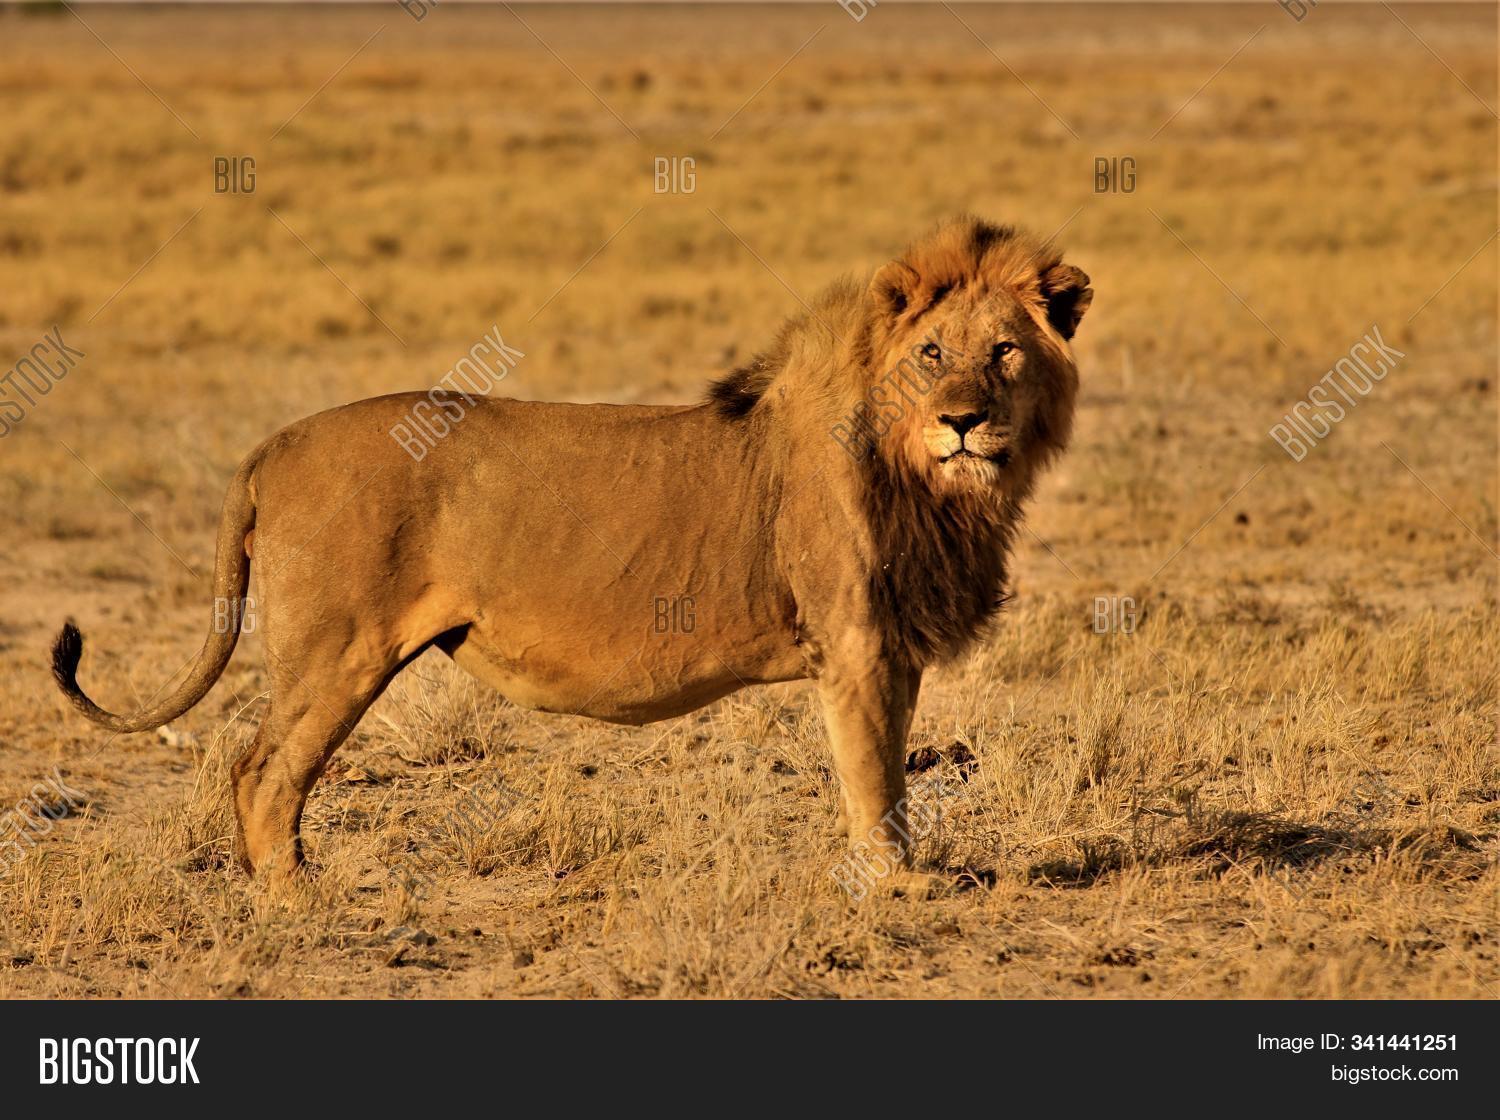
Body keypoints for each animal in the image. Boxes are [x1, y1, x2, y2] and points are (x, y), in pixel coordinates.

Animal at [52, 215, 1091, 881]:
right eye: (932, 354)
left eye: (1004, 351)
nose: (964, 421)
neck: (938, 487)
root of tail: (275, 442)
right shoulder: (856, 646)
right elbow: (874, 780)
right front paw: (898, 889)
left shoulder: (895, 648)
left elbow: (894, 775)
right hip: (335, 651)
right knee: (263, 772)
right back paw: (296, 901)